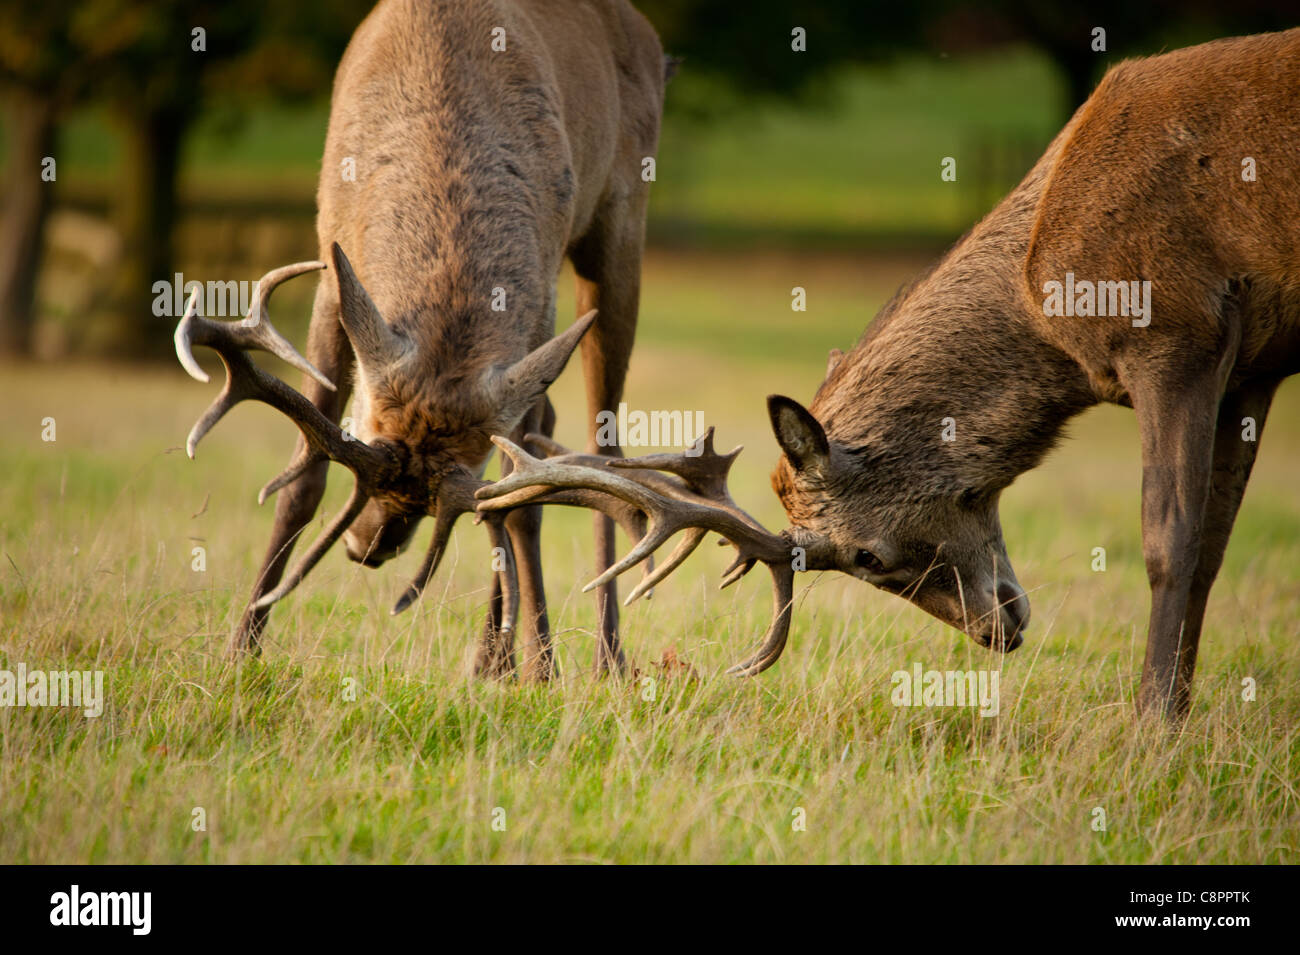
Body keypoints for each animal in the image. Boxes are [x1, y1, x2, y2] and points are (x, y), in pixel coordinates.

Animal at [173, 0, 667, 680]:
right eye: (366, 435)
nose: (367, 549)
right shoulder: (331, 274)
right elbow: (302, 479)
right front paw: (241, 647)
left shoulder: (539, 313)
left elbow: (521, 501)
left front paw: (544, 667)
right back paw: (493, 660)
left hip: (622, 226)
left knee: (602, 441)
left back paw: (604, 657)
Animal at [474, 28, 1300, 720]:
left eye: (866, 555)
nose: (1001, 626)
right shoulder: (1252, 368)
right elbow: (1213, 547)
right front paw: (1182, 708)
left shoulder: (1177, 329)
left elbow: (1170, 541)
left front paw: (1153, 719)